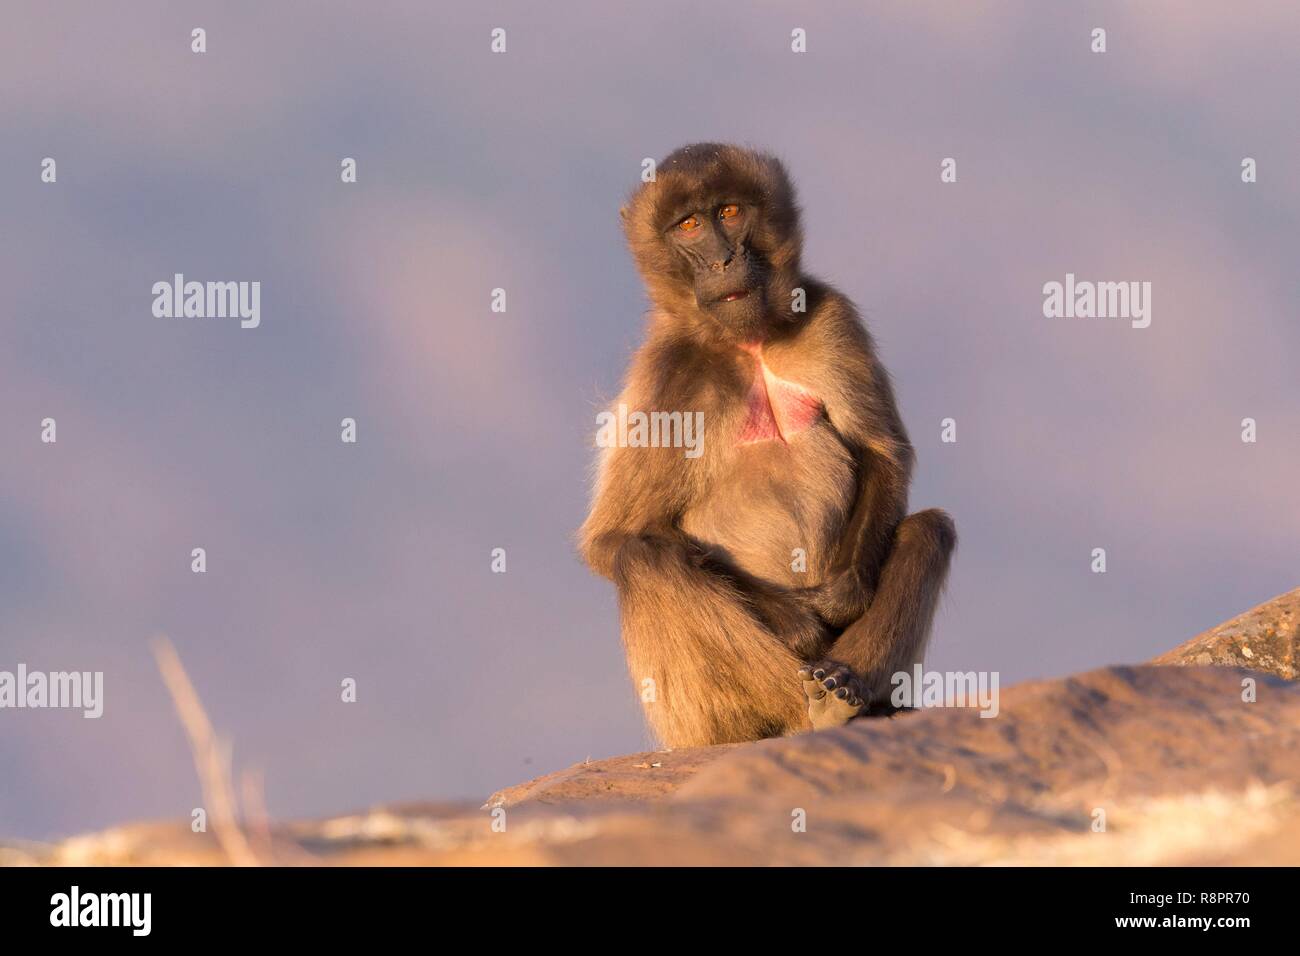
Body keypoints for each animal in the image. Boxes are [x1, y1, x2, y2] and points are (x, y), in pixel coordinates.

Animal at [579, 143, 955, 749]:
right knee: (647, 560)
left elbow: (882, 451)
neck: (747, 343)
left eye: (730, 212)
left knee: (928, 530)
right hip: (700, 723)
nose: (722, 261)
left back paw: (847, 691)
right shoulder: (665, 375)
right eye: (688, 225)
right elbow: (616, 536)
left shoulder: (830, 314)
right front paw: (801, 622)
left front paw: (840, 597)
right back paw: (810, 709)